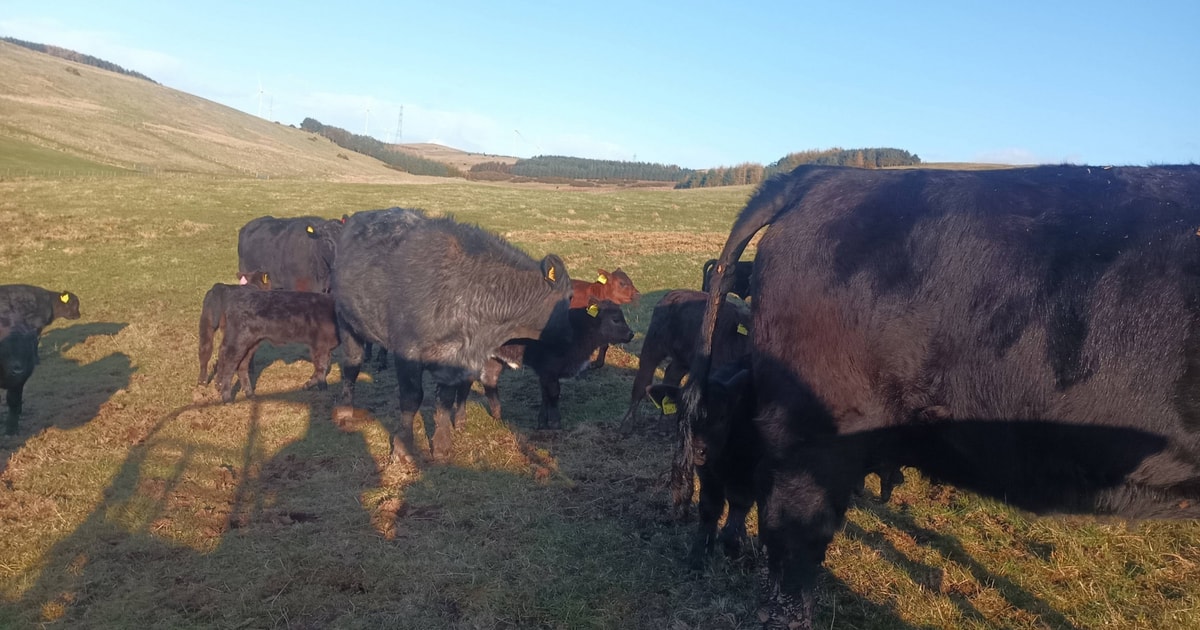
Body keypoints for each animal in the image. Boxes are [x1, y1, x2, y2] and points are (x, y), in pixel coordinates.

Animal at [333, 207, 573, 464]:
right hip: (347, 323)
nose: (570, 340)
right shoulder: (407, 352)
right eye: (569, 297)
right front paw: (403, 446)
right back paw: (345, 409)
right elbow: (411, 398)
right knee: (351, 365)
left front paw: (441, 444)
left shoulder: (452, 359)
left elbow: (445, 401)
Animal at [480, 299, 635, 428]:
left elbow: (545, 395)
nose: (631, 334)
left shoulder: (545, 373)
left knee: (490, 381)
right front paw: (555, 422)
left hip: (494, 360)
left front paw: (542, 421)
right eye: (615, 319)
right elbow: (554, 394)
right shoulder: (550, 370)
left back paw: (497, 414)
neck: (578, 329)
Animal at [619, 289, 751, 432]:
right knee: (644, 377)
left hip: (683, 359)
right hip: (654, 344)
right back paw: (627, 422)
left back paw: (664, 422)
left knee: (671, 375)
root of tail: (673, 293)